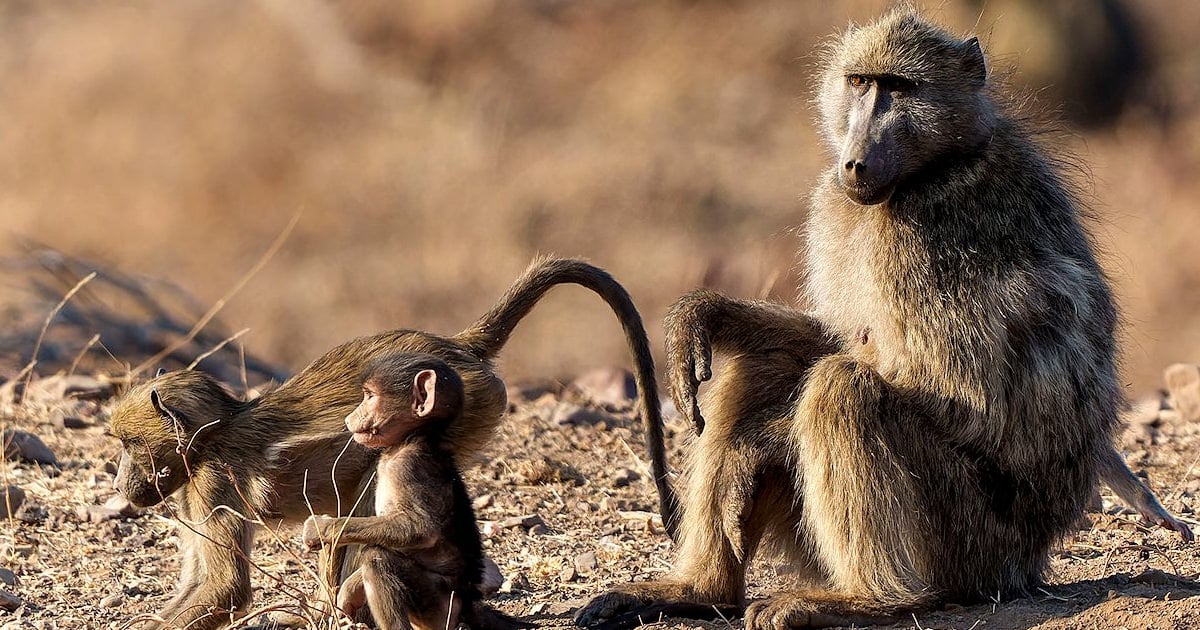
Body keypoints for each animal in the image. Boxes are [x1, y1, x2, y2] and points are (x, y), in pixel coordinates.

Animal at [302, 352, 530, 630]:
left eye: (369, 396)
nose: (348, 419)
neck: (413, 438)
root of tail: (467, 603)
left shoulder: (409, 466)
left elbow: (422, 529)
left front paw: (320, 528)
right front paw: (349, 591)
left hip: (439, 605)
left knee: (377, 559)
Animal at [576, 10, 1130, 629]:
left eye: (900, 89)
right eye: (861, 83)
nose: (854, 161)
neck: (938, 163)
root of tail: (1028, 564)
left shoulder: (925, 241)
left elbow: (954, 391)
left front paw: (762, 444)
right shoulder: (834, 201)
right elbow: (837, 336)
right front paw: (706, 314)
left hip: (973, 537)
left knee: (842, 388)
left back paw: (868, 598)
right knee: (770, 365)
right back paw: (701, 590)